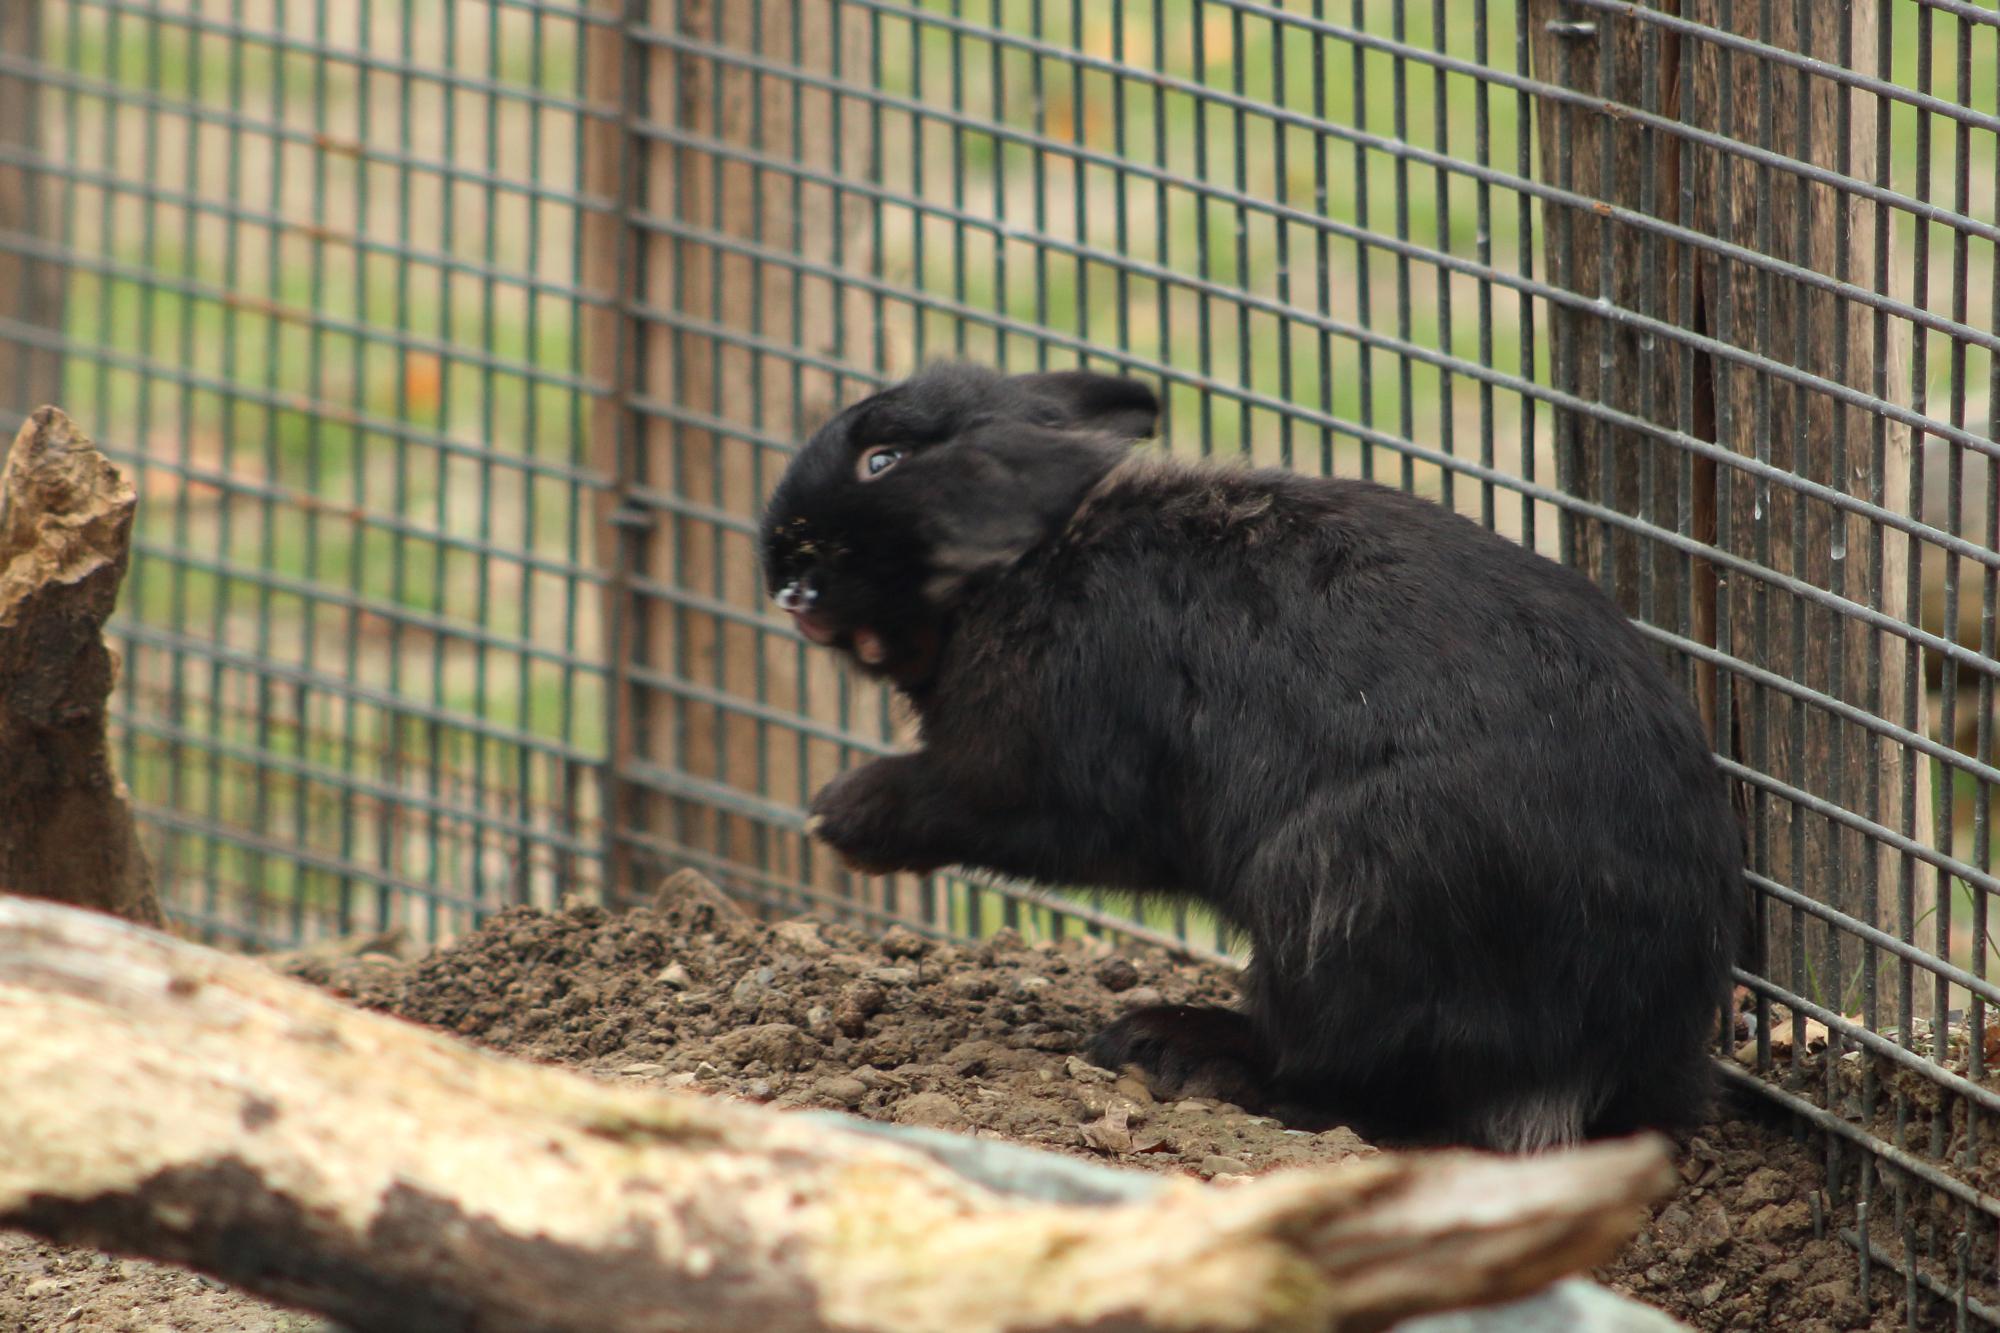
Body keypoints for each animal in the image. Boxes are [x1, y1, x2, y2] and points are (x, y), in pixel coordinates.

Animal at [759, 361, 1743, 1152]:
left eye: (882, 461)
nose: (781, 575)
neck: (1030, 558)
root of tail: (1589, 1056)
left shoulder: (1040, 775)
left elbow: (974, 804)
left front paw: (843, 810)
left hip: (1332, 892)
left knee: (1349, 1077)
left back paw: (1171, 1046)